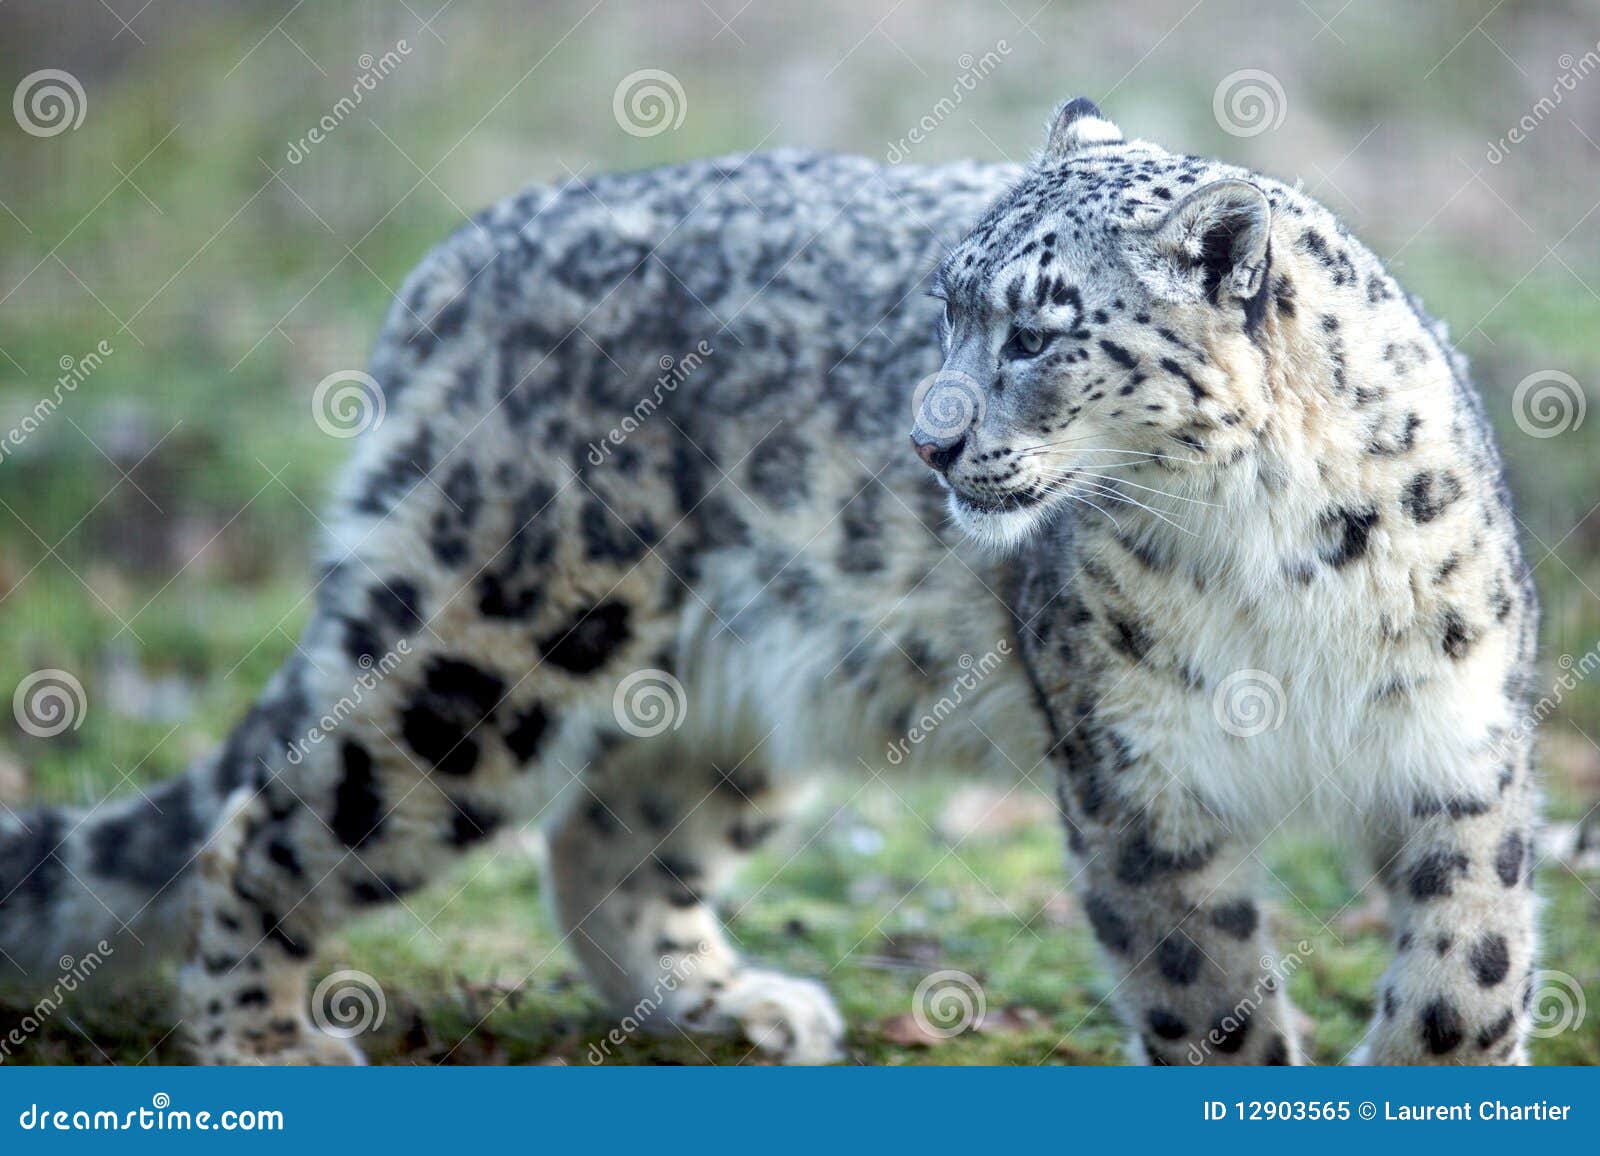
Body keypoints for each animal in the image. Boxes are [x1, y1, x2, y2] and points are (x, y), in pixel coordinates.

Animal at [0, 97, 1540, 1066]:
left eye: (1037, 332)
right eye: (943, 305)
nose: (928, 438)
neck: (1263, 550)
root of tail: (455, 262)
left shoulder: (1457, 745)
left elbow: (1469, 968)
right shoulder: (1139, 783)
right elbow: (1204, 993)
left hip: (737, 702)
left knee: (604, 842)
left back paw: (725, 1008)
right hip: (485, 651)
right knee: (267, 821)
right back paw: (267, 1045)